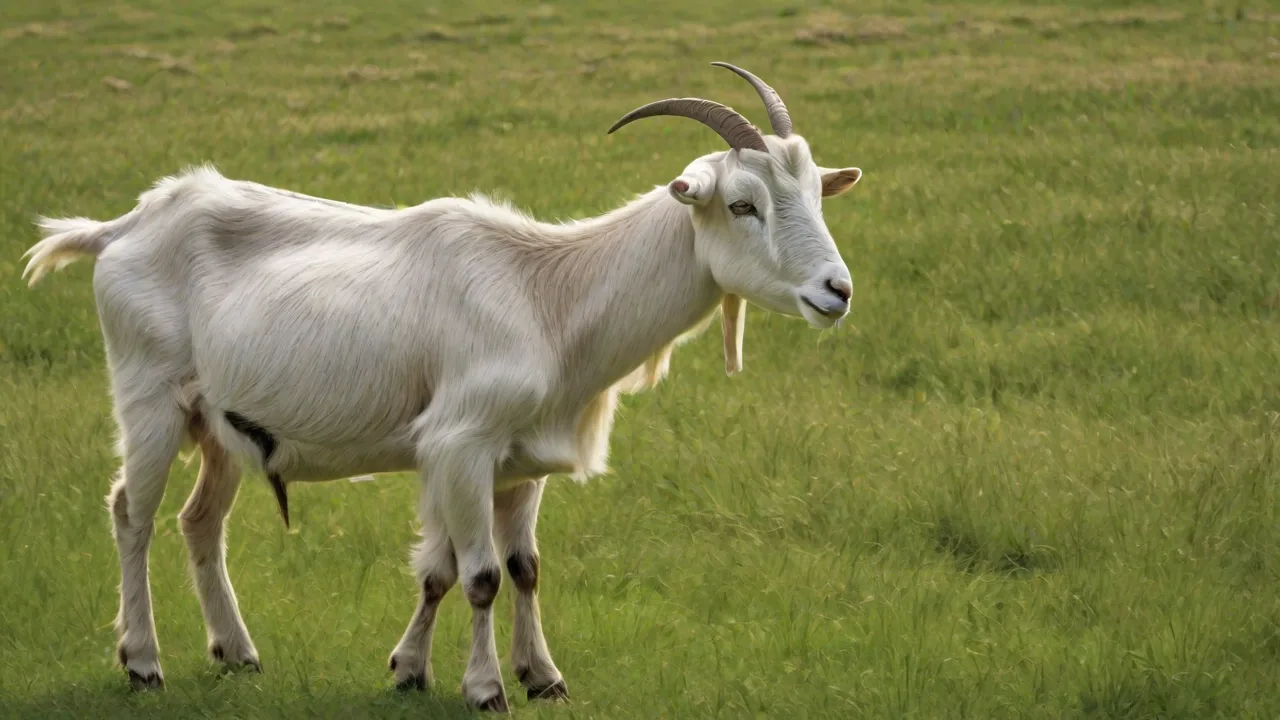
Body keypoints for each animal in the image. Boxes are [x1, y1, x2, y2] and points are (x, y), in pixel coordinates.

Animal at [22, 62, 862, 711]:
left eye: (813, 195)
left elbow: (509, 569)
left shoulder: (518, 462)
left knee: (199, 522)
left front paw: (522, 676)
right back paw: (142, 663)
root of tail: (124, 225)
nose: (837, 291)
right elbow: (478, 575)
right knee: (132, 513)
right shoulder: (461, 446)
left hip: (221, 427)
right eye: (743, 204)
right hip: (151, 399)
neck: (549, 295)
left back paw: (238, 653)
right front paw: (483, 689)